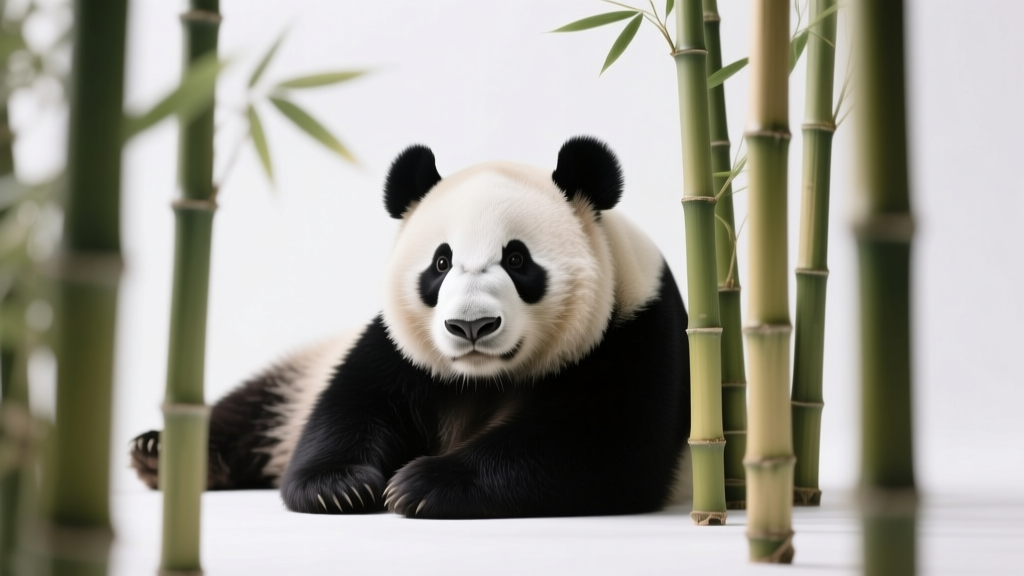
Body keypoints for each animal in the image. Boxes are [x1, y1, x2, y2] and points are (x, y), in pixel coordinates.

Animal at [131, 136, 692, 519]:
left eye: (516, 259)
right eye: (440, 263)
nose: (471, 325)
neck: (486, 378)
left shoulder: (636, 334)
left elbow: (599, 445)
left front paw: (420, 484)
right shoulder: (396, 347)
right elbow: (351, 405)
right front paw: (340, 487)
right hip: (300, 369)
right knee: (256, 405)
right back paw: (161, 454)